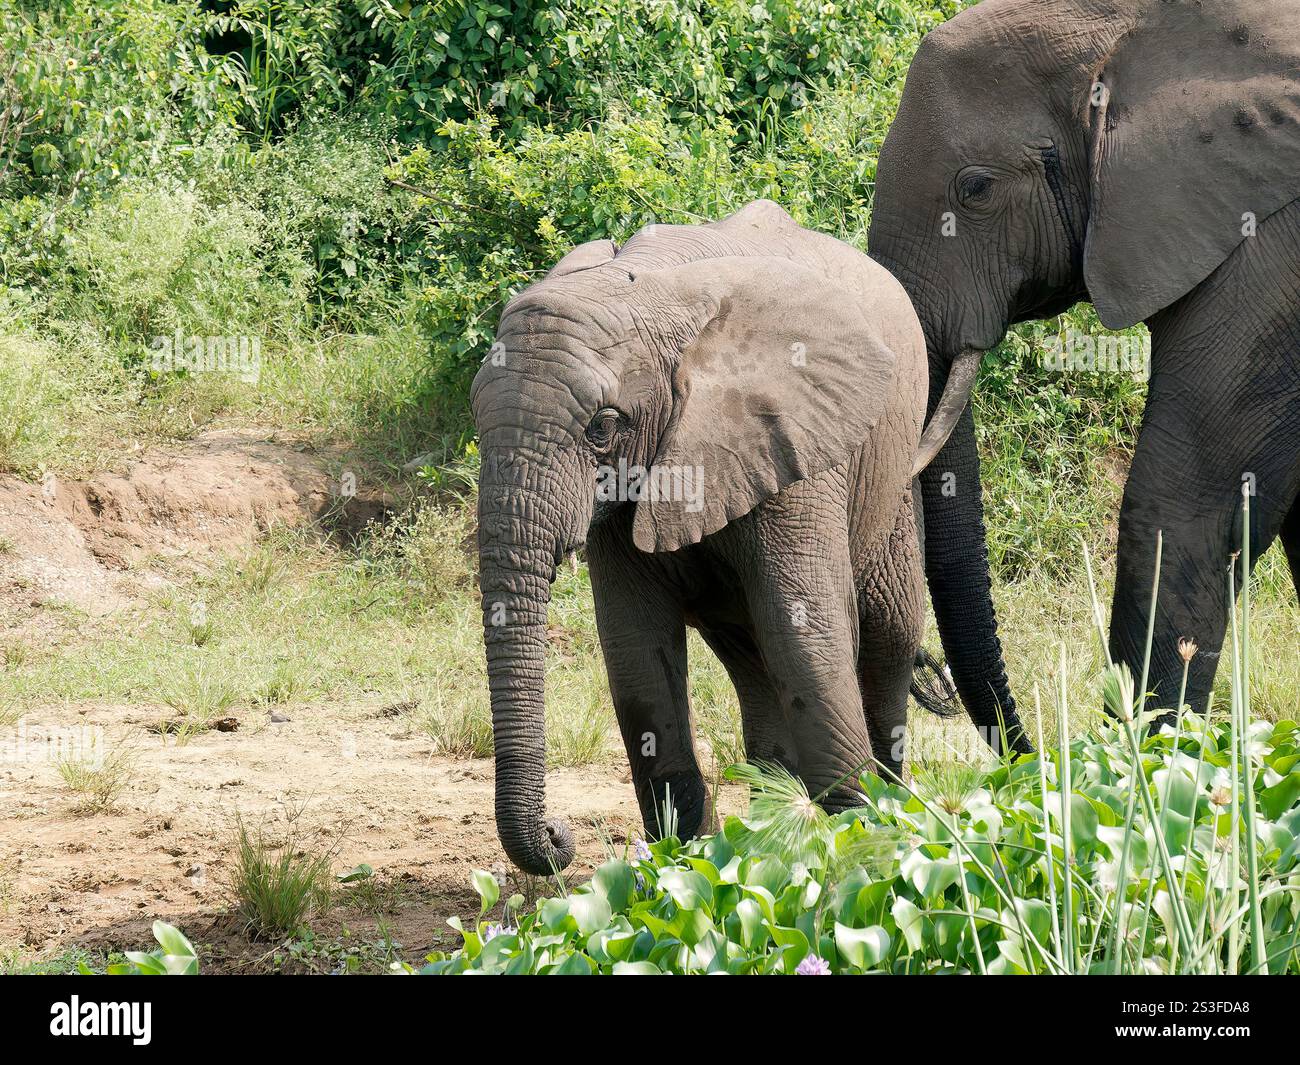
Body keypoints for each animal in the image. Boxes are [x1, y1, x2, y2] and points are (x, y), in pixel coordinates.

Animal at [472, 200, 950, 874]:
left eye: (601, 428)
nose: (561, 836)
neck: (650, 293)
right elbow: (636, 655)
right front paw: (685, 868)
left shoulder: (796, 441)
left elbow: (805, 633)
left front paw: (857, 849)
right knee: (753, 661)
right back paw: (769, 827)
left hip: (892, 474)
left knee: (886, 637)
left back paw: (890, 800)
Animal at [868, 0, 1300, 739]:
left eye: (975, 188)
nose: (1026, 750)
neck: (1118, 25)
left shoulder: (1273, 244)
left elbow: (1187, 497)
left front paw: (1147, 760)